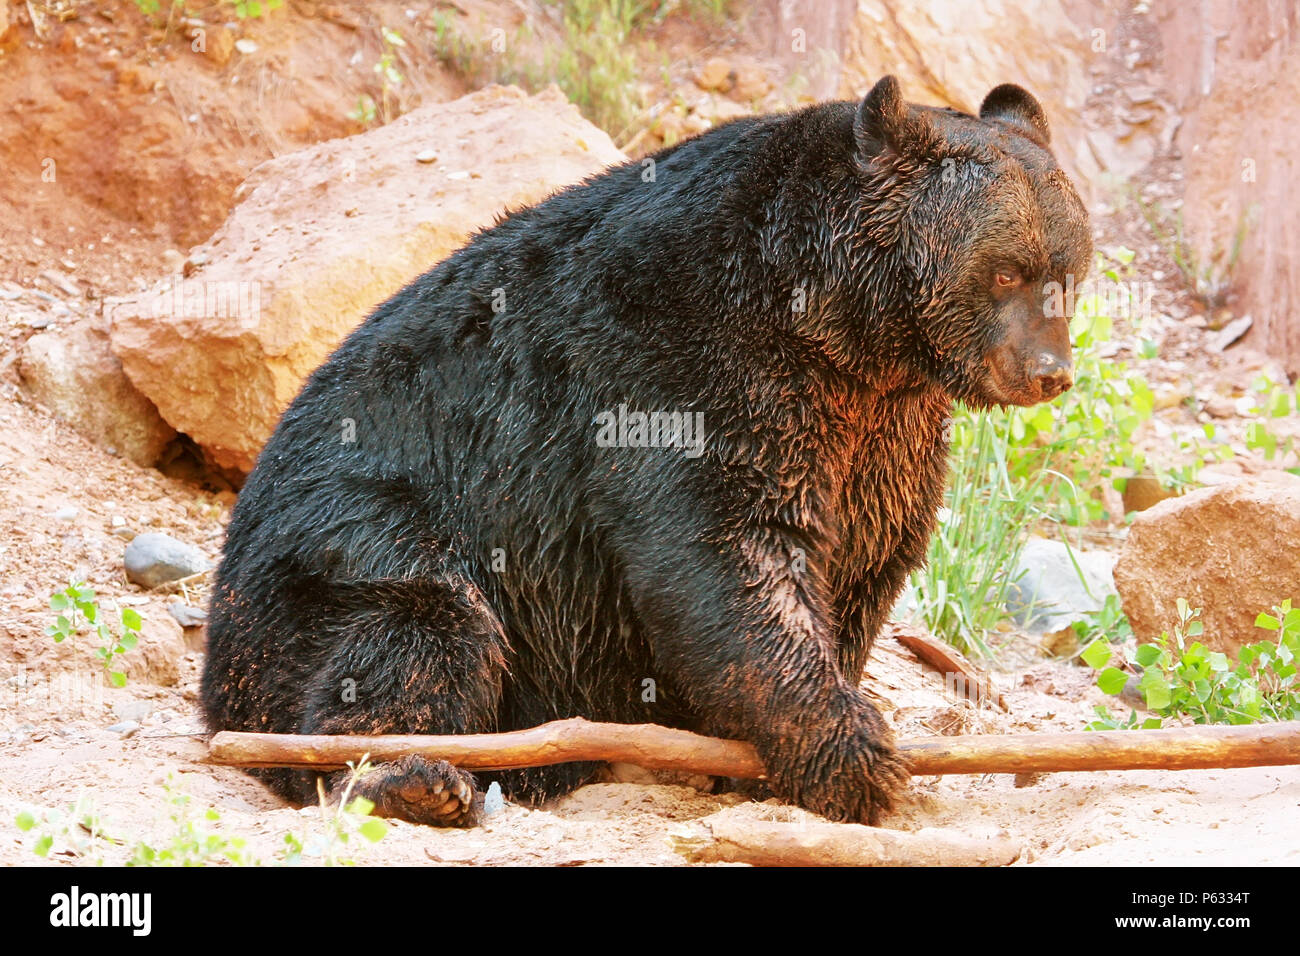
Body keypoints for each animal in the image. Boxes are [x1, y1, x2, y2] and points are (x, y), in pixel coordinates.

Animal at [201, 75, 1091, 827]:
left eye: (1069, 272)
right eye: (1006, 271)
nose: (1049, 372)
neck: (839, 330)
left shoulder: (882, 432)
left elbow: (863, 558)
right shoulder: (684, 356)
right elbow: (719, 547)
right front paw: (852, 751)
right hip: (350, 534)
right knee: (414, 627)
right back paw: (405, 774)